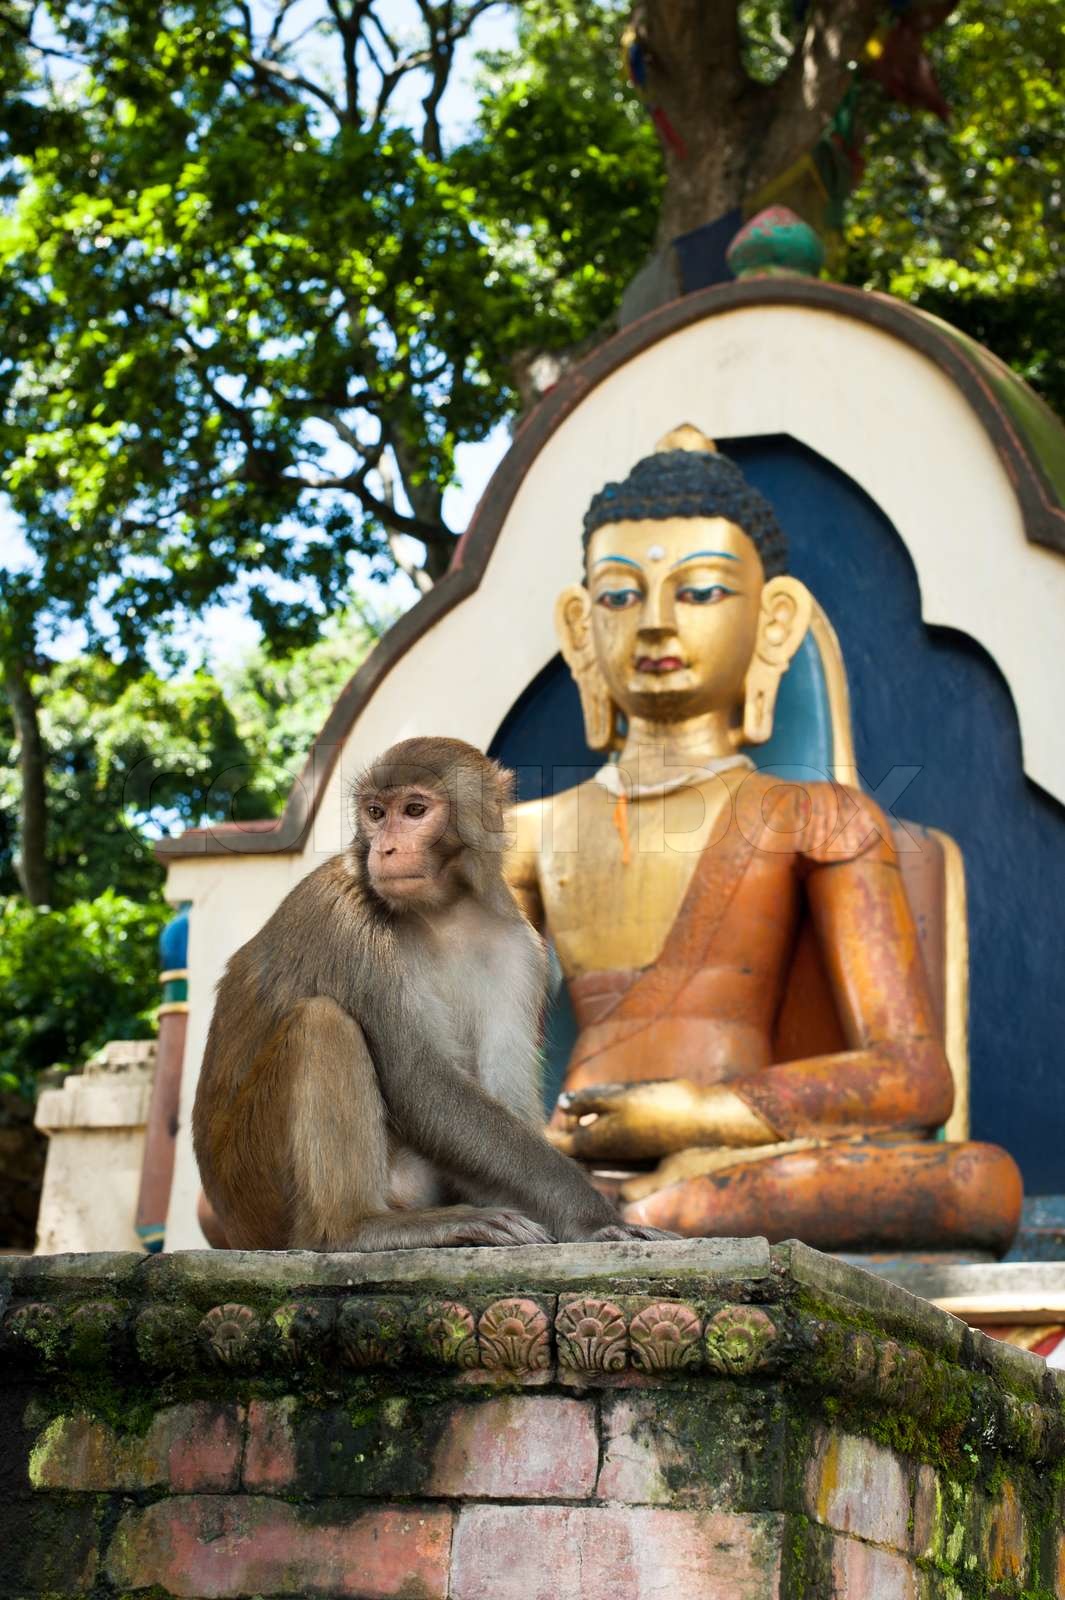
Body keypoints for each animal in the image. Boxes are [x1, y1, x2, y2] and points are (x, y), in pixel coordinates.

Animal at [192, 735, 672, 1251]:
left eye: (415, 810)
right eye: (376, 813)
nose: (385, 848)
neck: (444, 910)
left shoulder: (520, 950)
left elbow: (502, 1089)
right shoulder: (344, 917)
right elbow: (418, 1080)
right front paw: (595, 1216)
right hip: (256, 1185)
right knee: (321, 1023)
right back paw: (352, 1228)